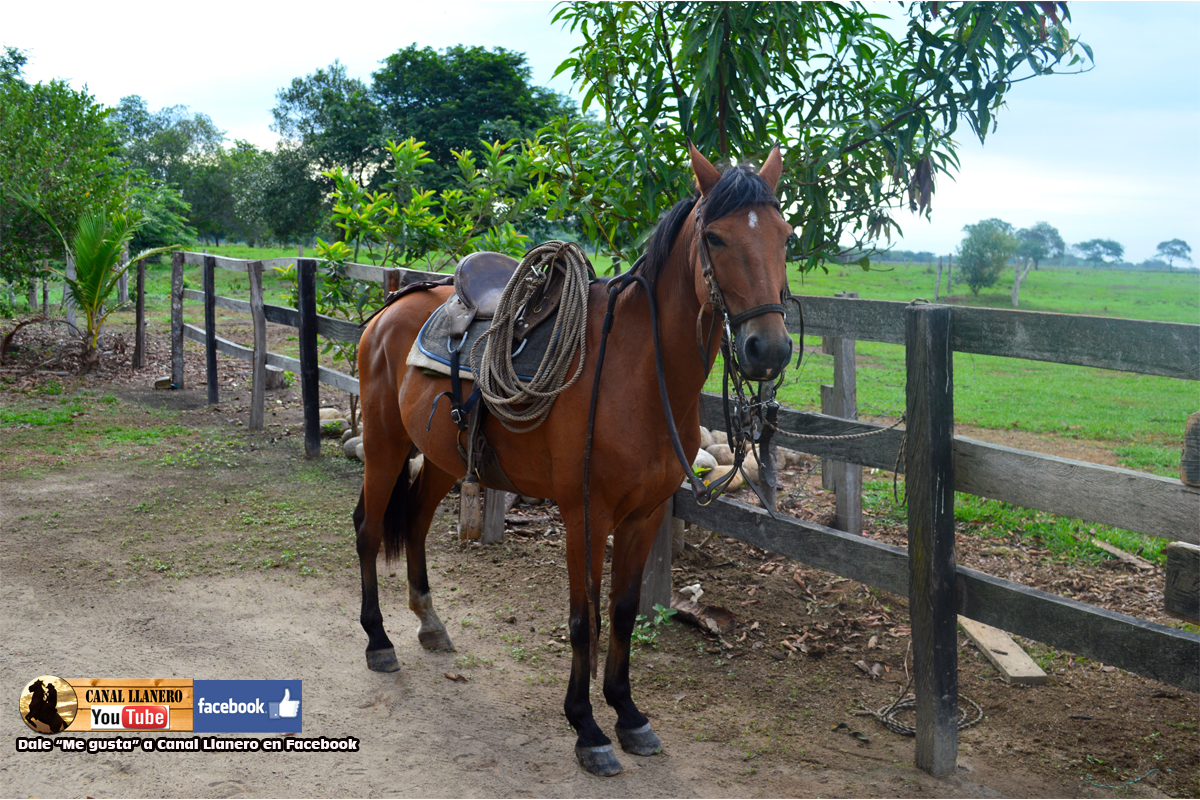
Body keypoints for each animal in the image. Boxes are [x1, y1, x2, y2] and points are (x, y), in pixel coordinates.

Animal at [354, 143, 795, 776]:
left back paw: (431, 625)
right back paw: (379, 641)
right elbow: (584, 617)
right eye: (715, 237)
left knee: (412, 519)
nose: (768, 348)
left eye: (785, 237)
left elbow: (625, 611)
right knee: (369, 529)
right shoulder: (585, 514)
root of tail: (391, 307)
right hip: (386, 445)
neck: (638, 374)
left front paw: (628, 714)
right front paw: (586, 727)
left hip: (441, 458)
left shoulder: (644, 515)